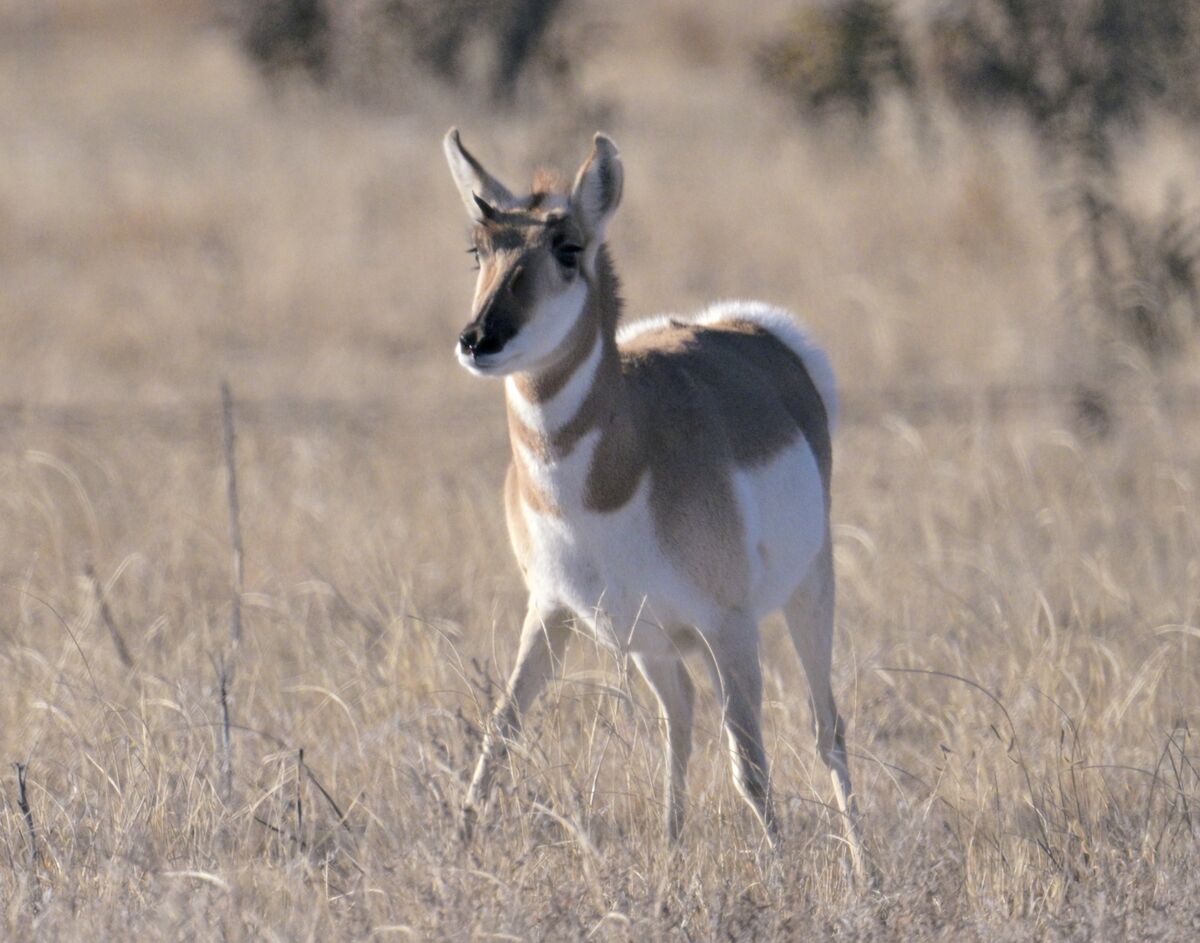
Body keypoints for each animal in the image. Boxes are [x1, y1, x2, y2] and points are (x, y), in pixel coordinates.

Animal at [445, 128, 864, 873]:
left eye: (568, 247)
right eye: (480, 246)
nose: (478, 340)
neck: (608, 482)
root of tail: (752, 331)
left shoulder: (729, 627)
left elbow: (751, 767)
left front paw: (782, 876)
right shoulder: (551, 612)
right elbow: (500, 733)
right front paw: (456, 853)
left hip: (806, 596)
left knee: (826, 728)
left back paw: (864, 868)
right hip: (653, 642)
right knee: (683, 715)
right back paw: (671, 849)